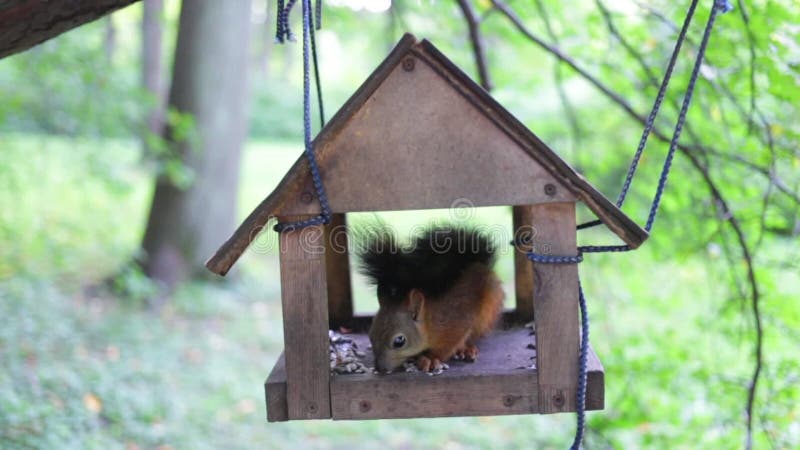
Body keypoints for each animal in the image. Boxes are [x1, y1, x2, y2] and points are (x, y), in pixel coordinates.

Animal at [356, 222, 505, 373]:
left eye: (399, 341)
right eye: (371, 335)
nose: (380, 368)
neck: (430, 322)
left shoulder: (455, 325)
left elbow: (448, 346)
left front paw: (431, 358)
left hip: (488, 310)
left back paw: (466, 348)